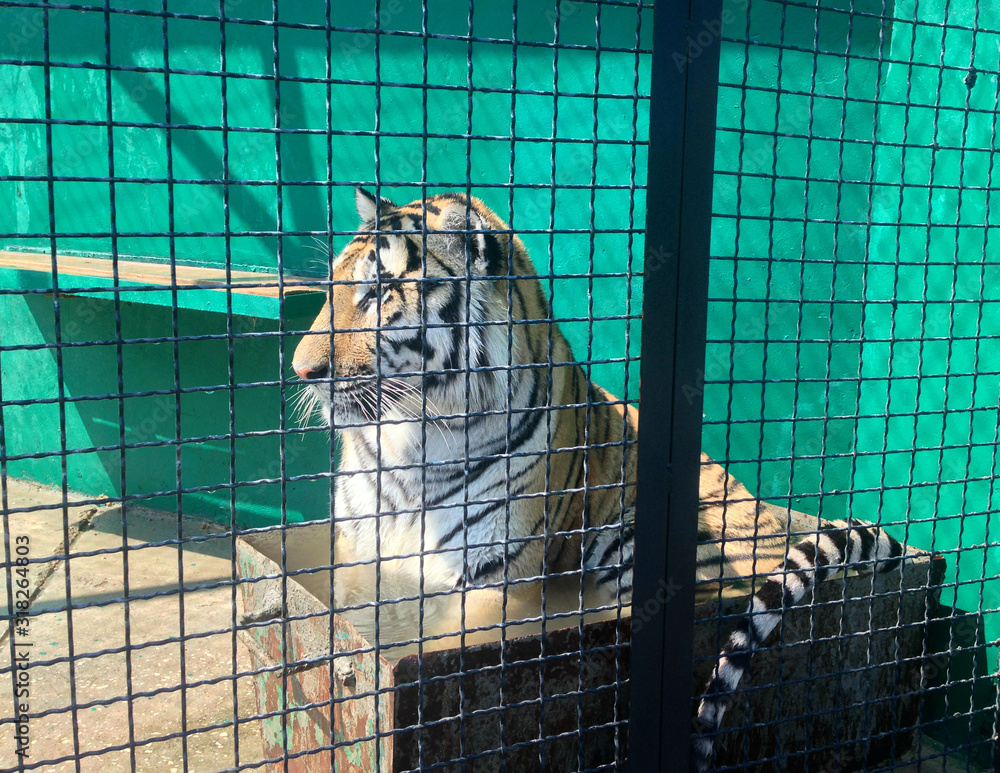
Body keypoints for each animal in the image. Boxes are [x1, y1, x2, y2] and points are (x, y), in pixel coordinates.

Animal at [291, 188, 906, 772]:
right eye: (332, 287)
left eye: (379, 292)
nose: (301, 371)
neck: (408, 442)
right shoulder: (359, 554)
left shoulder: (492, 579)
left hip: (637, 539)